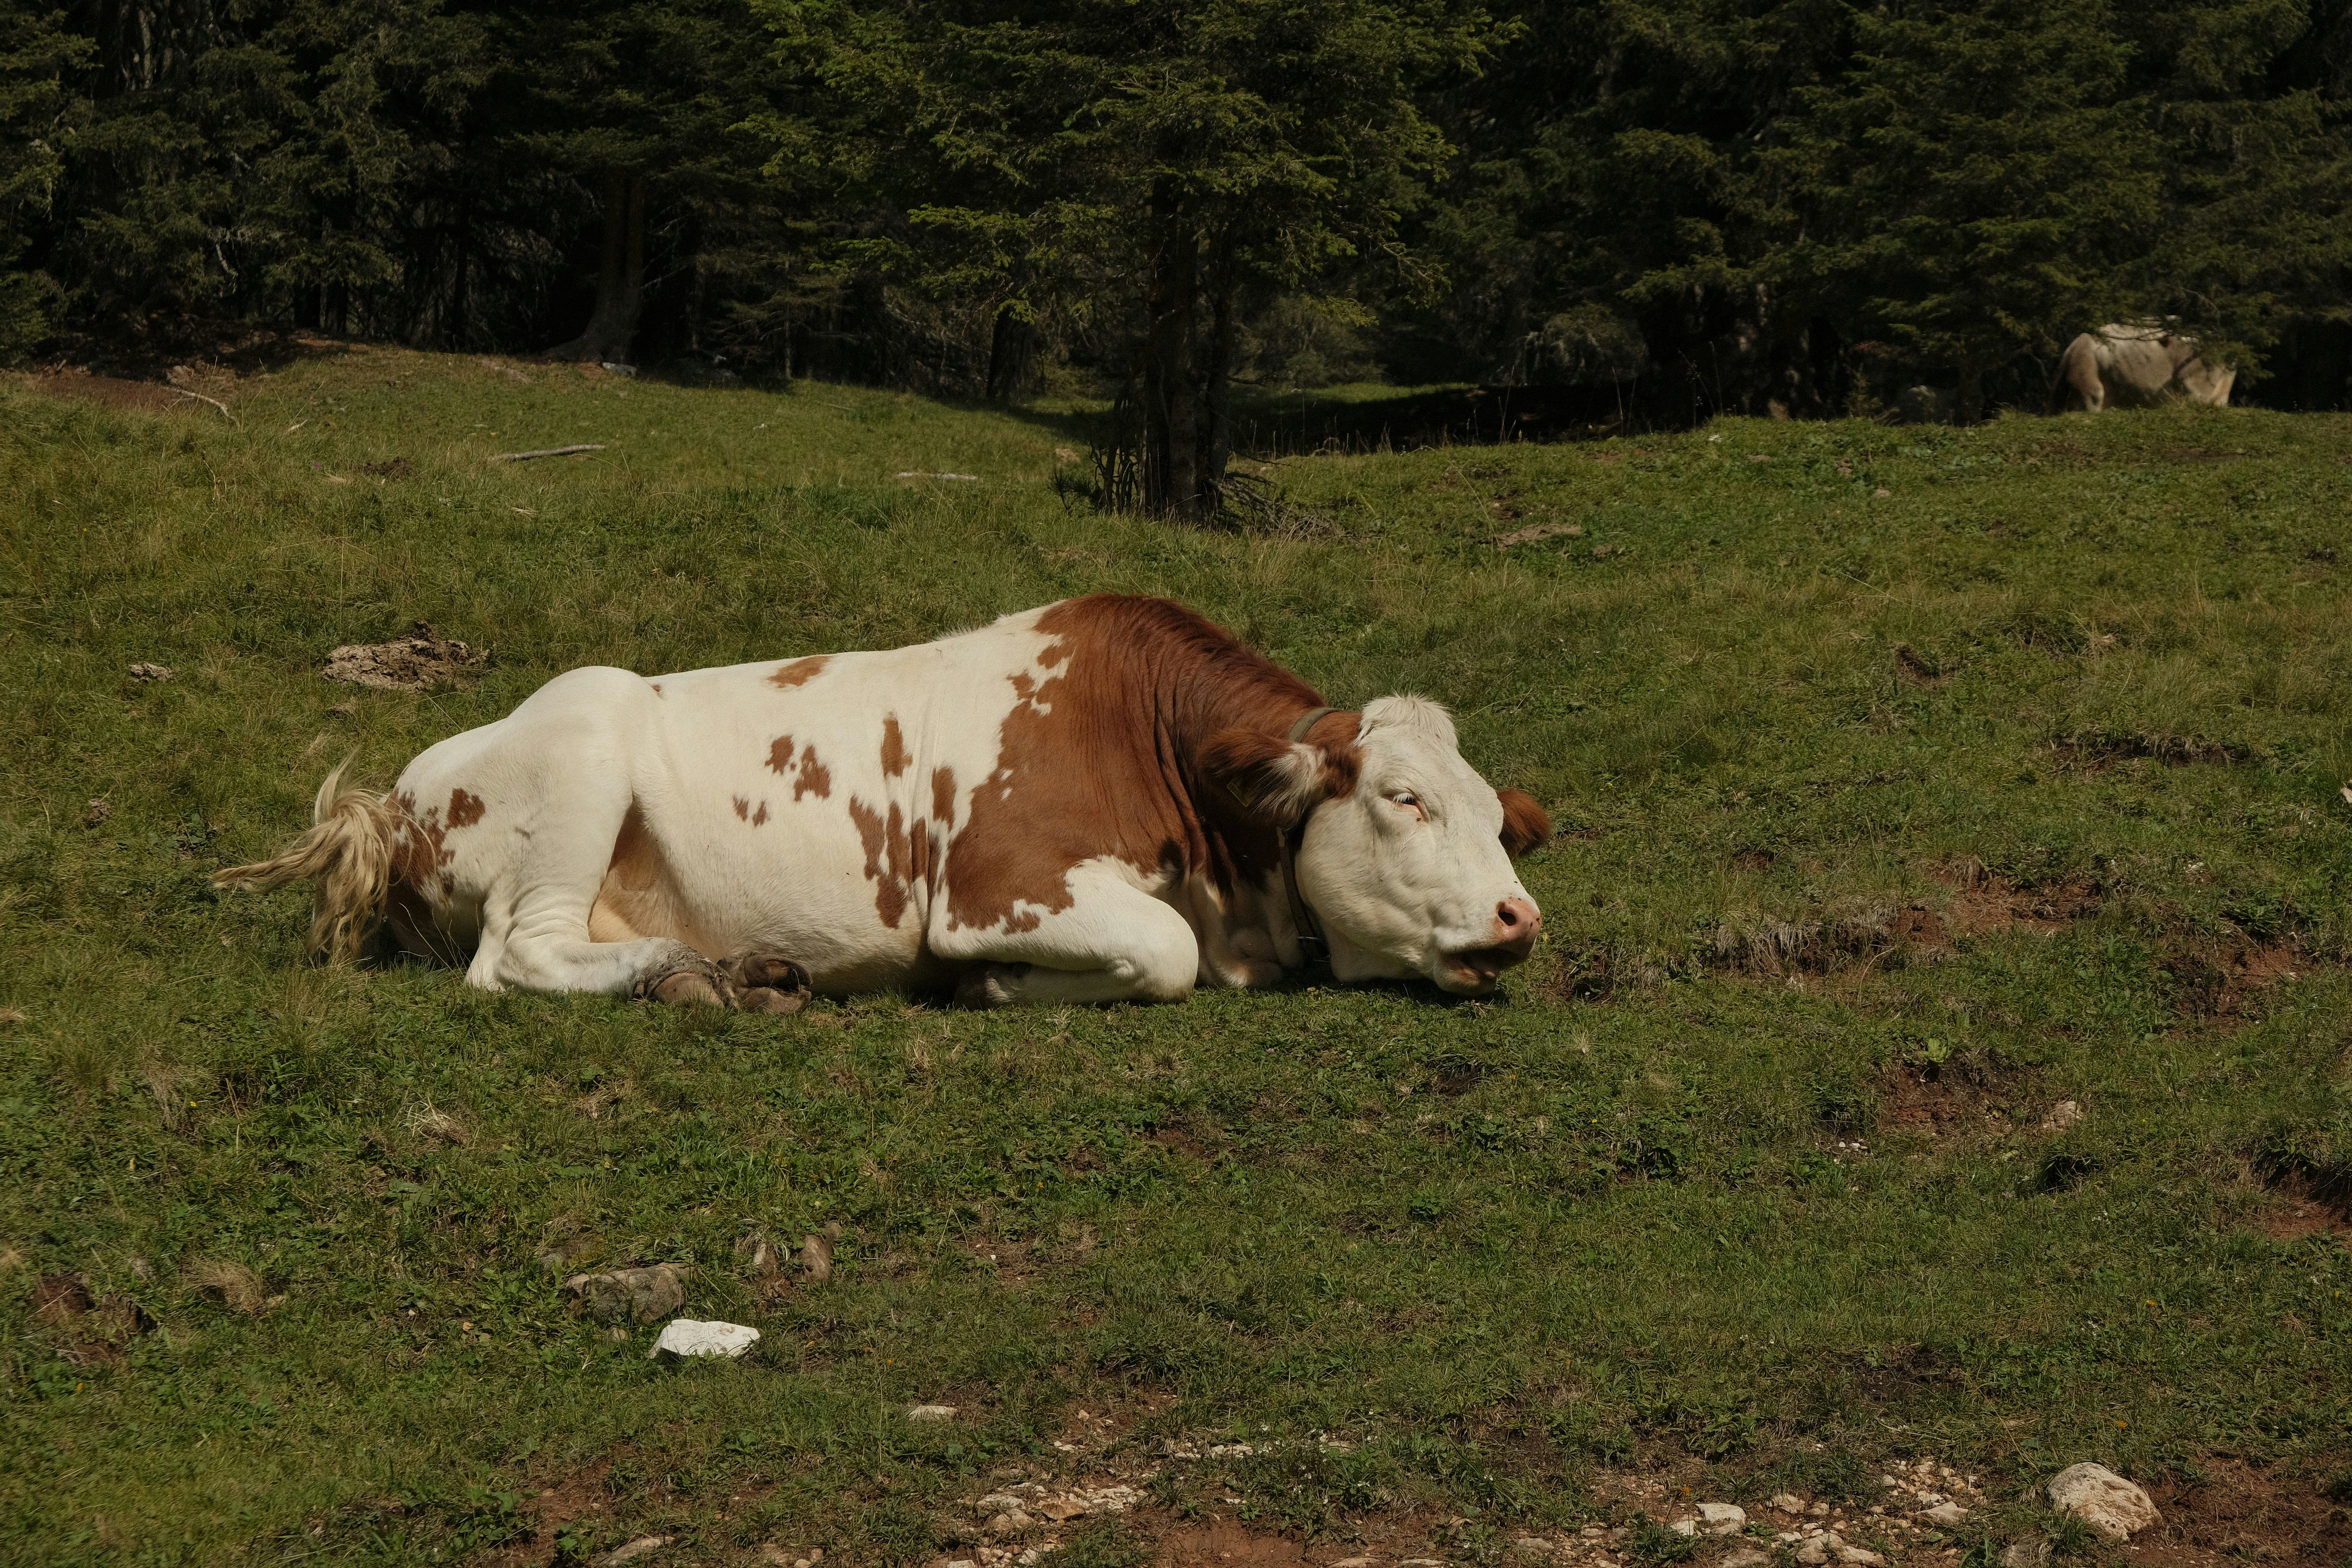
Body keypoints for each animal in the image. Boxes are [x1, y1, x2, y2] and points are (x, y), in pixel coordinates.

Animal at [217, 595, 1552, 1009]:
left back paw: (744, 972)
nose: (1517, 919)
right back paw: (691, 978)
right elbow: (1161, 956)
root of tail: (401, 790)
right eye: (1403, 799)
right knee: (517, 958)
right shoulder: (997, 886)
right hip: (587, 738)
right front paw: (998, 986)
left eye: (1499, 820)